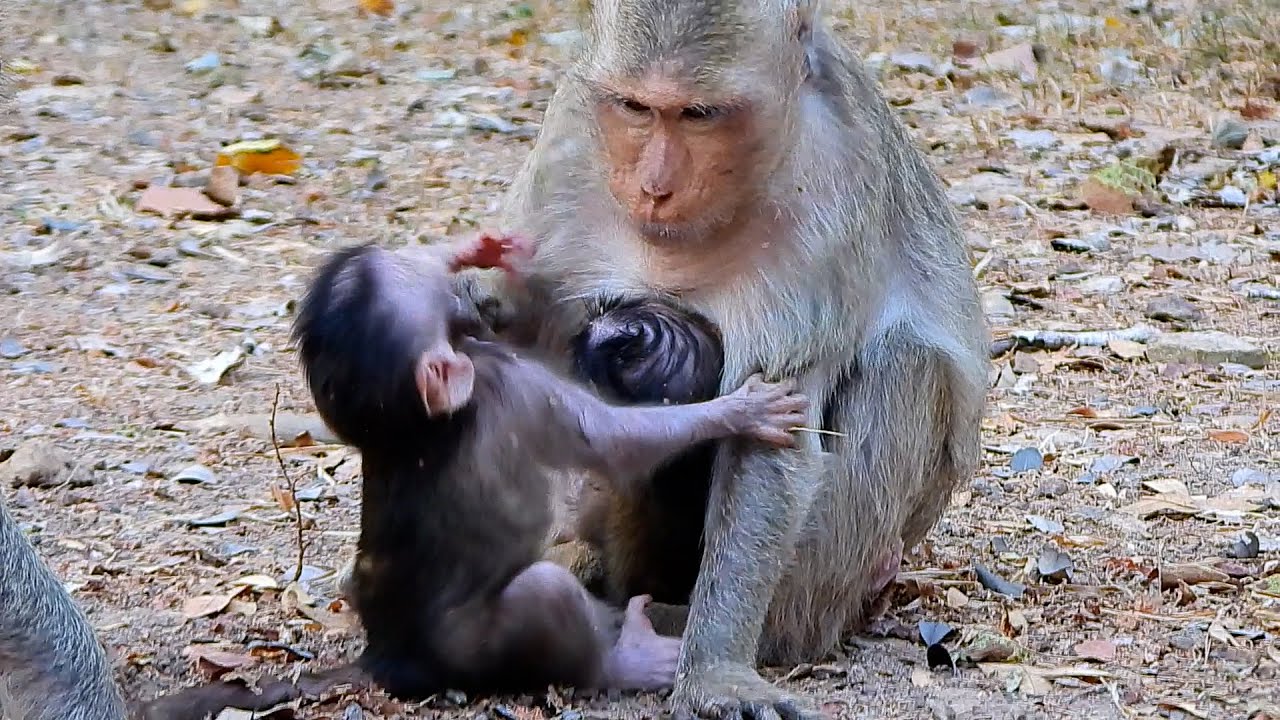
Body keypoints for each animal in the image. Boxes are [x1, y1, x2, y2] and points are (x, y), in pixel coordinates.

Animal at [138, 235, 809, 718]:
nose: (454, 278)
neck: (417, 423)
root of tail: (388, 660)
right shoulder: (513, 385)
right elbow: (612, 441)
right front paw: (740, 410)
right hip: (478, 645)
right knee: (547, 595)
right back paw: (626, 661)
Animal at [441, 0, 991, 717]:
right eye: (637, 107)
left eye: (699, 114)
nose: (654, 187)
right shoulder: (568, 137)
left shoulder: (828, 201)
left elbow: (772, 438)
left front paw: (714, 669)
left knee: (905, 364)